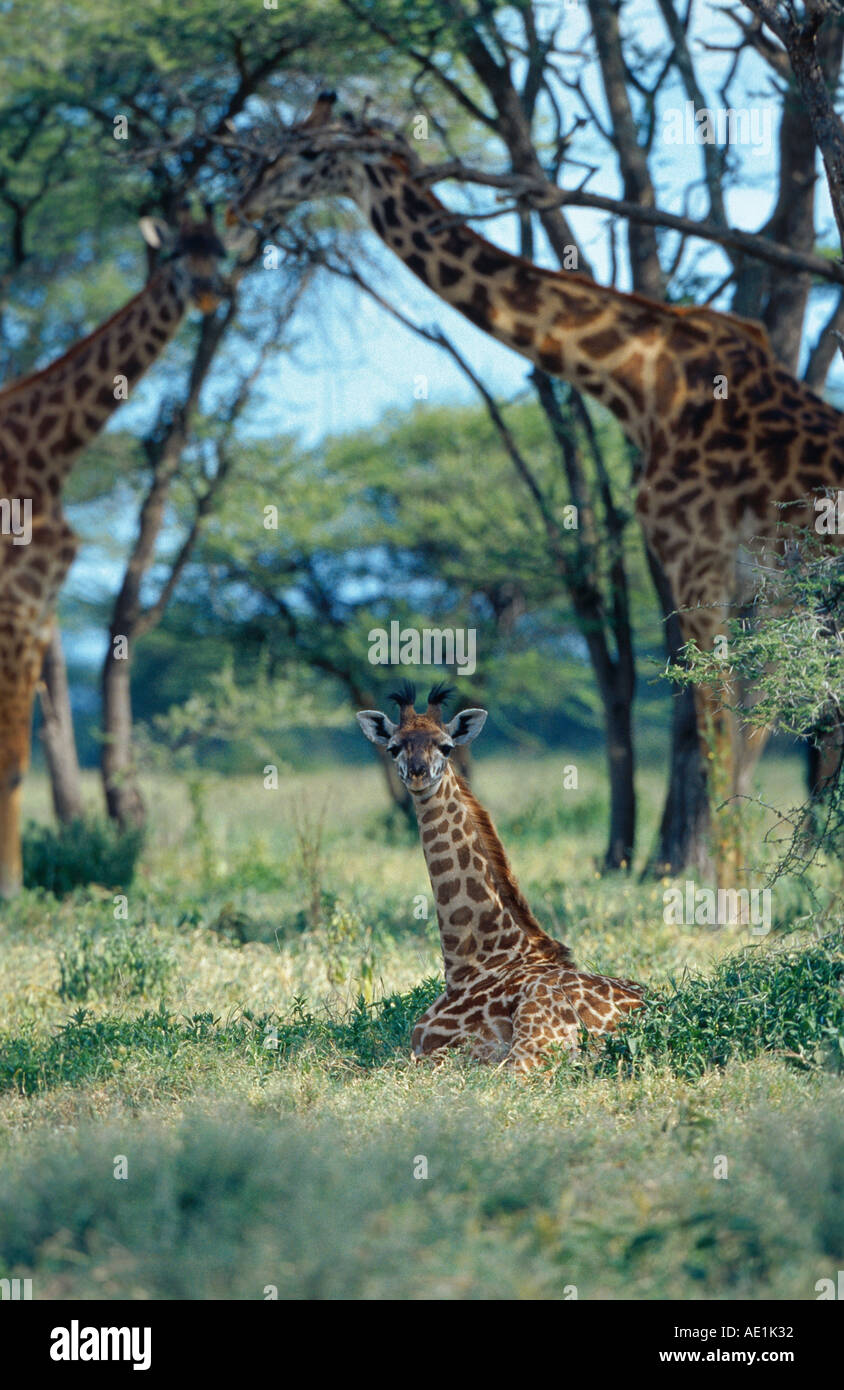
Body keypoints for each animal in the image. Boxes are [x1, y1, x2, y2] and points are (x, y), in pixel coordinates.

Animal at [0, 208, 225, 898]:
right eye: (175, 253)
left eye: (221, 249)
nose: (209, 292)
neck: (51, 457)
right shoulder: (16, 604)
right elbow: (10, 758)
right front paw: (9, 887)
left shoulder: (38, 610)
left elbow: (16, 759)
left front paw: (12, 881)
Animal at [228, 94, 844, 881]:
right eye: (273, 143)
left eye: (305, 154)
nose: (240, 206)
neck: (638, 381)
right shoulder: (760, 591)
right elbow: (745, 738)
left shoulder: (698, 560)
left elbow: (720, 739)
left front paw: (725, 902)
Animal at [357, 681, 645, 1072]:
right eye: (394, 747)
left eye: (446, 746)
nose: (418, 773)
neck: (471, 962)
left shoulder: (436, 1047)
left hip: (535, 1038)